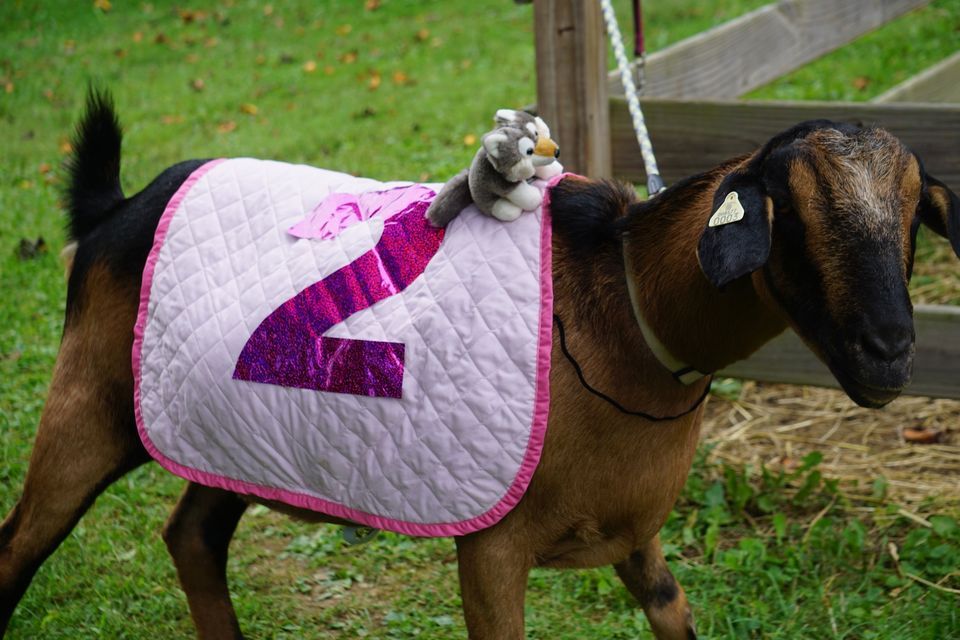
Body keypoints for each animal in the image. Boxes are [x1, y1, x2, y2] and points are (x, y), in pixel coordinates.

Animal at [1, 92, 958, 639]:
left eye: (916, 217)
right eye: (787, 214)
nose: (889, 352)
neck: (621, 309)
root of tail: (121, 208)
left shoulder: (634, 534)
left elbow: (674, 613)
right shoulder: (494, 548)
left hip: (233, 434)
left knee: (193, 536)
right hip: (89, 402)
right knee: (18, 548)